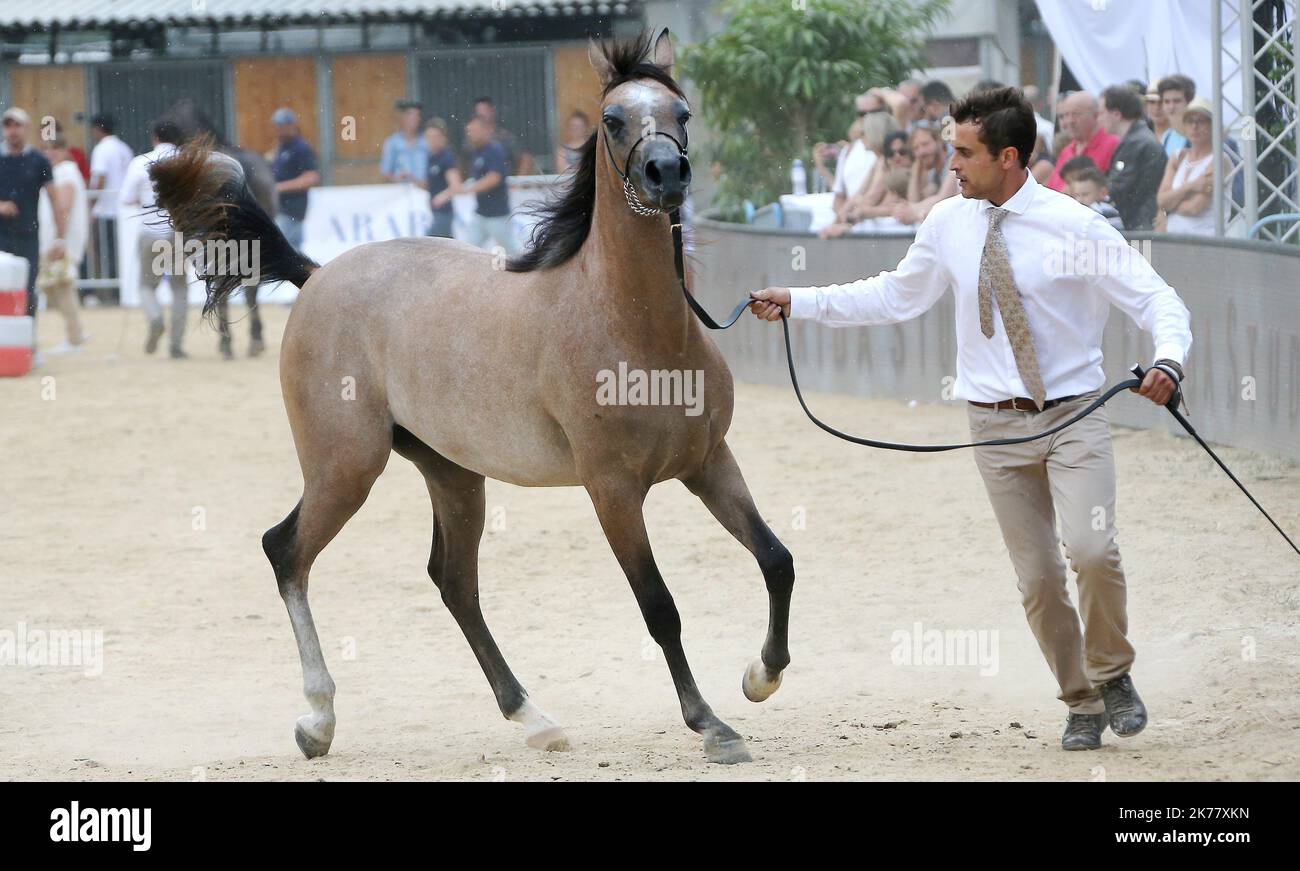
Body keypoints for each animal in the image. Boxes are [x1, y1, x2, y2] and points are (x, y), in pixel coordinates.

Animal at [150, 29, 793, 765]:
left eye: (681, 112)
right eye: (612, 119)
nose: (666, 173)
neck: (632, 325)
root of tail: (316, 276)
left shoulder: (707, 462)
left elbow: (777, 559)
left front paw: (761, 677)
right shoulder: (612, 491)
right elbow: (660, 607)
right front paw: (711, 723)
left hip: (451, 472)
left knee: (453, 579)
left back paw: (533, 716)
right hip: (345, 467)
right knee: (286, 550)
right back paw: (318, 718)